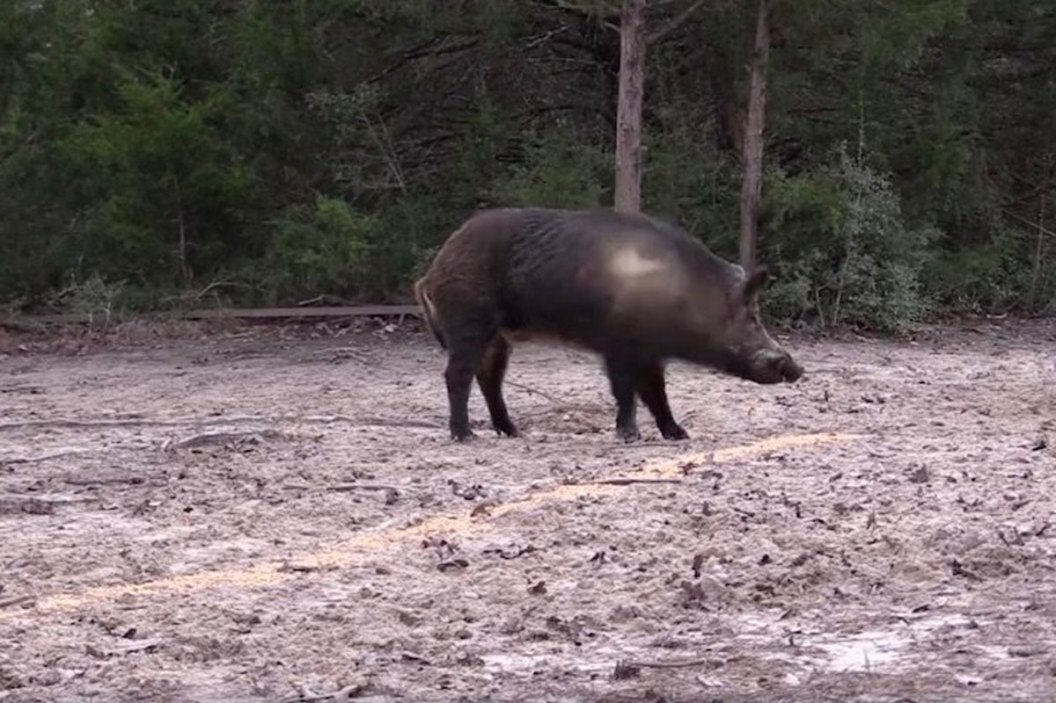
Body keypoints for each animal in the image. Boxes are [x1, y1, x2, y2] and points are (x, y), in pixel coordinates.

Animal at [414, 207, 803, 442]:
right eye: (752, 318)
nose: (796, 368)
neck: (682, 292)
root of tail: (433, 271)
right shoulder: (619, 344)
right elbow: (626, 391)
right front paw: (630, 436)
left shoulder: (650, 353)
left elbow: (656, 393)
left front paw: (678, 434)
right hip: (468, 319)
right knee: (458, 375)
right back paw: (465, 435)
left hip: (497, 336)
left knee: (488, 378)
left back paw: (513, 432)